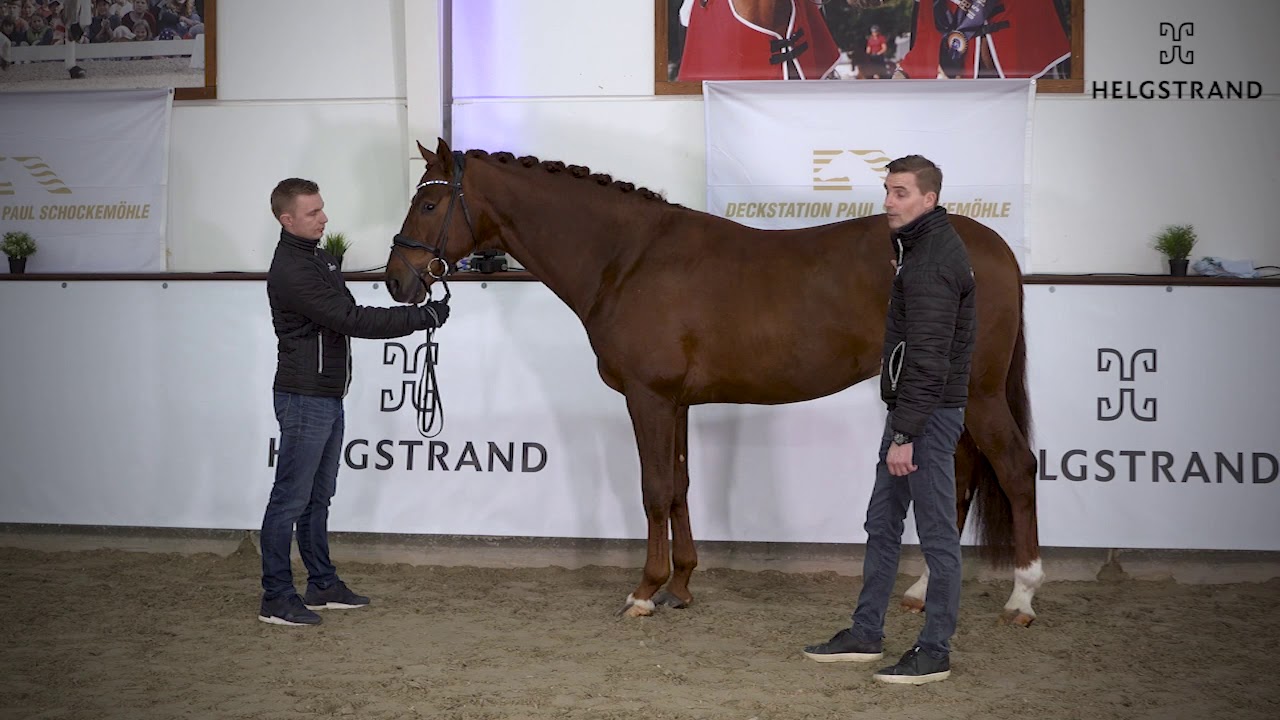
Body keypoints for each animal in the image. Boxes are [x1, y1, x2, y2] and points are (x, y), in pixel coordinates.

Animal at [386, 137, 1044, 626]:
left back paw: (1022, 594)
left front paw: (644, 591)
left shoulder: (648, 399)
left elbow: (653, 490)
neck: (626, 258)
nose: (396, 280)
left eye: (428, 206)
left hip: (981, 394)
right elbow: (679, 486)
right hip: (950, 394)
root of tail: (993, 248)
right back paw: (923, 589)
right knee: (959, 477)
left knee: (1015, 468)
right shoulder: (675, 403)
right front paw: (680, 585)